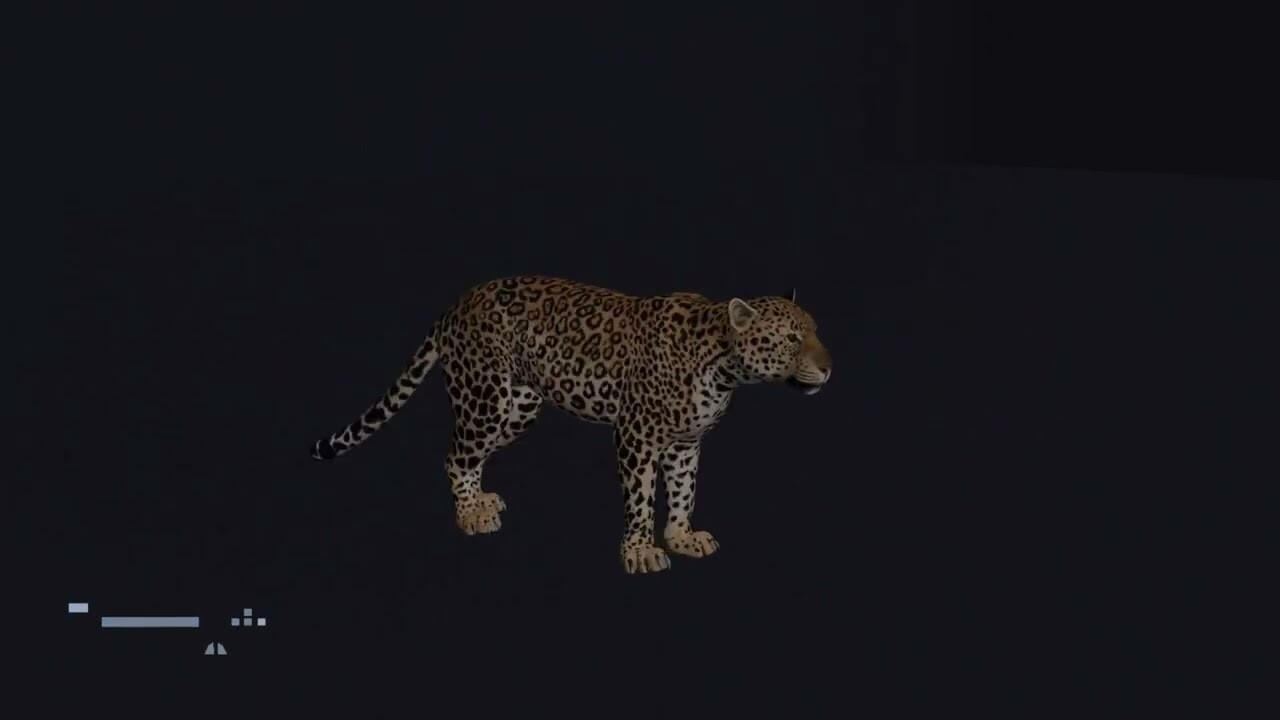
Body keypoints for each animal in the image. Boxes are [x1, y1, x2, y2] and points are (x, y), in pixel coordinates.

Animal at [309, 276, 832, 574]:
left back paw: (482, 499)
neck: (724, 368)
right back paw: (471, 514)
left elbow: (684, 492)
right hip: (485, 397)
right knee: (454, 454)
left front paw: (683, 536)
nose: (830, 368)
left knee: (469, 455)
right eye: (790, 339)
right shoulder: (636, 436)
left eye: (815, 331)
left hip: (518, 407)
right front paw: (640, 551)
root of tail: (455, 306)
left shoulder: (685, 444)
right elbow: (641, 499)